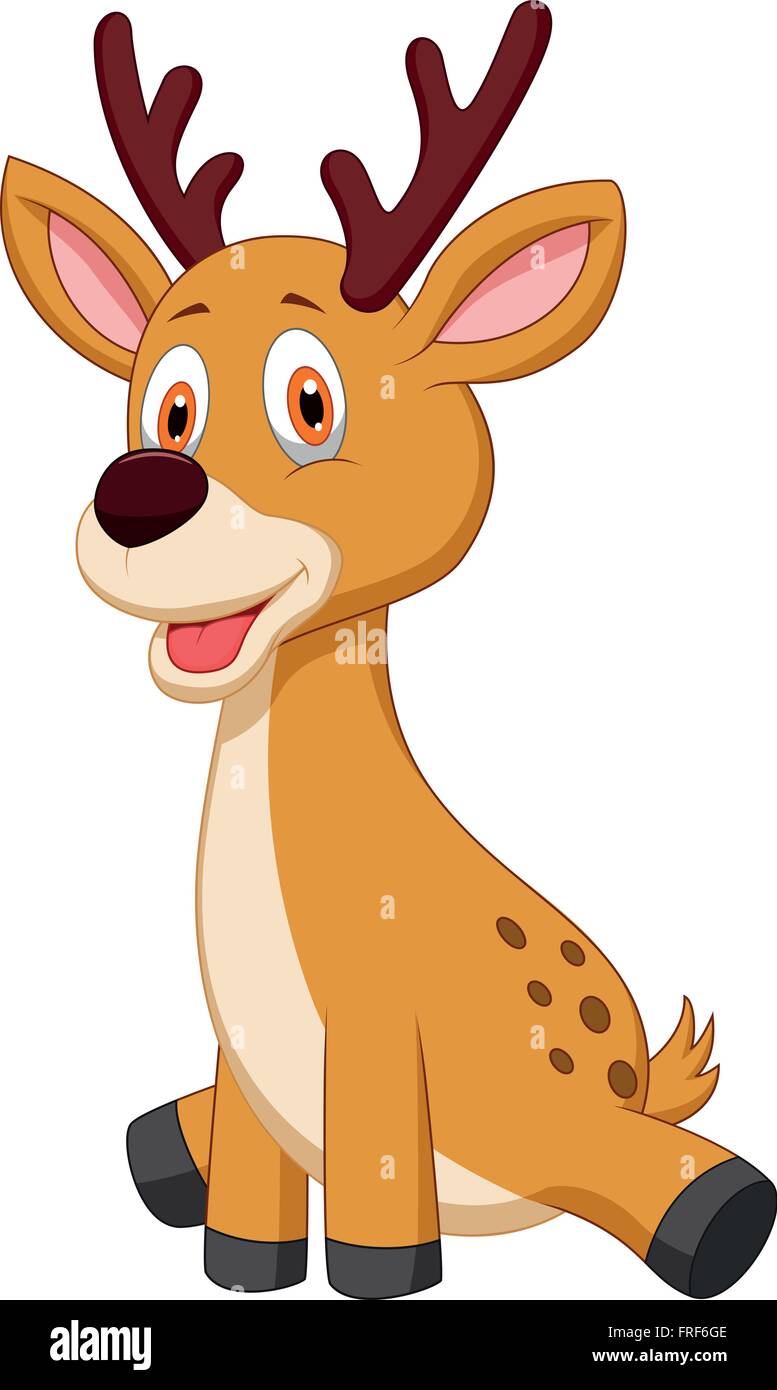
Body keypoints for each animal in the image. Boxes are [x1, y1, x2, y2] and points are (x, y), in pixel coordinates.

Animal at [2, 5, 774, 1301]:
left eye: (311, 402)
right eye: (167, 406)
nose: (138, 493)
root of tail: (645, 1064)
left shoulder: (377, 1046)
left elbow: (377, 1197)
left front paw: (378, 1276)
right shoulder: (244, 1058)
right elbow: (245, 1194)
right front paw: (241, 1265)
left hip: (564, 1124)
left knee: (680, 1176)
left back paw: (714, 1211)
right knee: (171, 1130)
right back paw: (157, 1145)